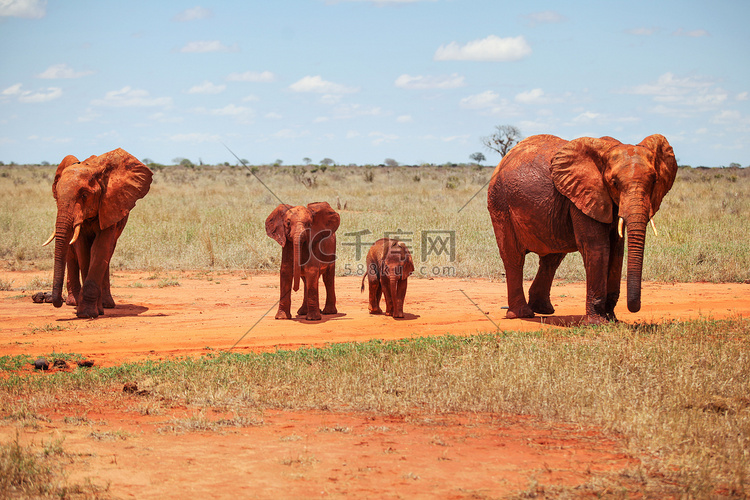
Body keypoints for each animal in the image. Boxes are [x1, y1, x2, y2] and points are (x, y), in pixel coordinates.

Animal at [43, 148, 152, 318]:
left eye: (84, 195)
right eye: (57, 196)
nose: (57, 302)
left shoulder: (110, 206)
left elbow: (100, 249)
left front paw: (88, 313)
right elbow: (83, 251)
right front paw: (89, 311)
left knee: (108, 253)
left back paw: (106, 305)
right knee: (72, 254)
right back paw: (74, 302)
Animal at [487, 134, 678, 324]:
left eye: (654, 181)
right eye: (614, 183)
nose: (634, 308)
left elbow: (616, 250)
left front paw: (612, 319)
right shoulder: (583, 196)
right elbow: (596, 246)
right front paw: (598, 322)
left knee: (551, 259)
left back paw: (543, 310)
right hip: (500, 203)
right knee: (514, 257)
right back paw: (522, 314)